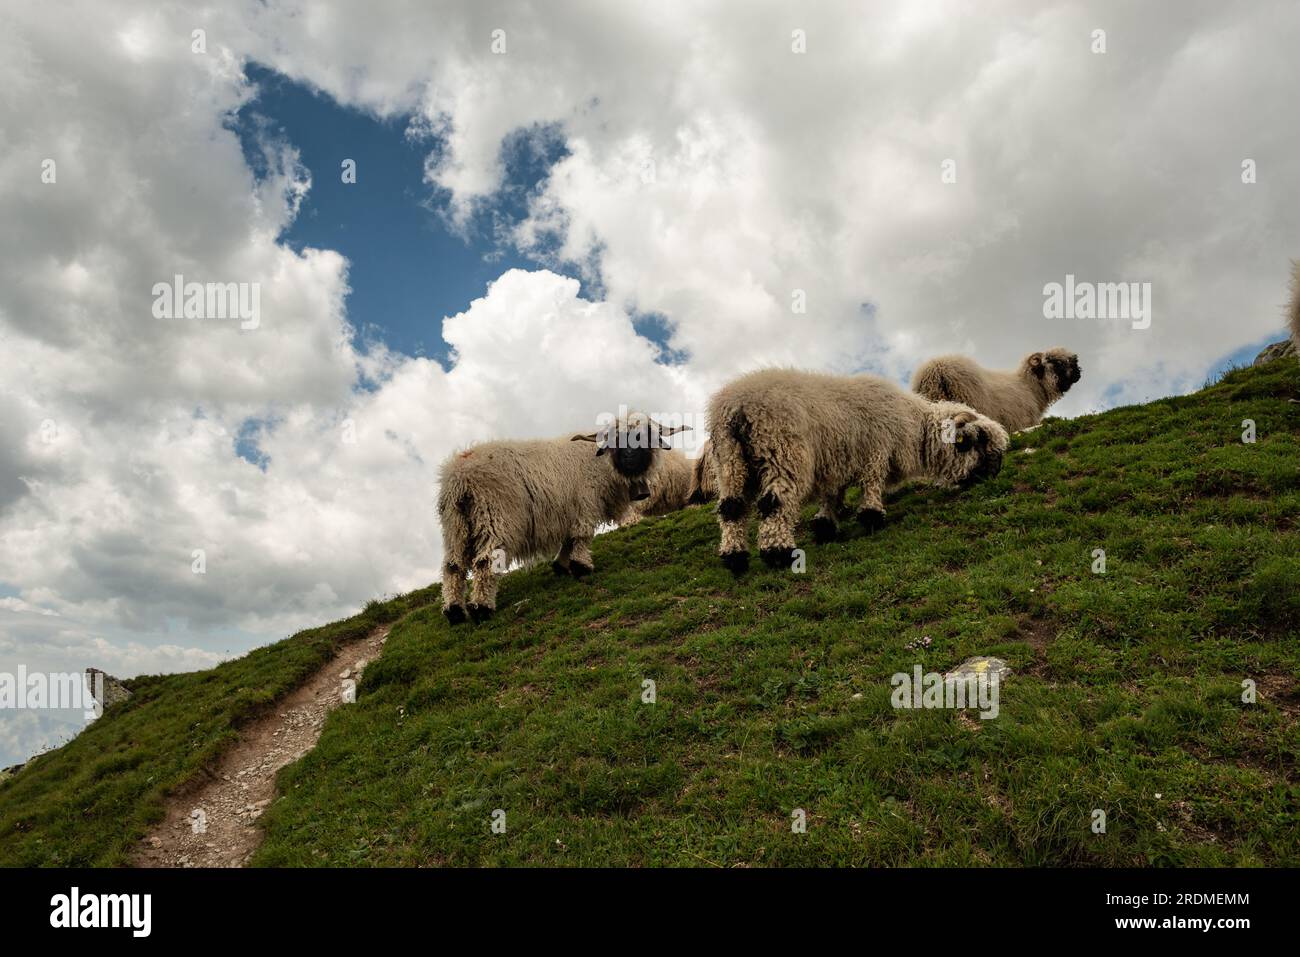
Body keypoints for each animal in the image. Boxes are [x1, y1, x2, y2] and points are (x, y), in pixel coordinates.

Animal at [437, 413, 688, 624]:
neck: (603, 462)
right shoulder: (586, 502)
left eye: (645, 435)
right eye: (618, 439)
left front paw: (562, 565)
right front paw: (581, 566)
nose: (630, 459)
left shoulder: (571, 510)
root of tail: (460, 477)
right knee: (485, 562)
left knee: (452, 567)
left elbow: (569, 538)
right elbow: (582, 534)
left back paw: (455, 611)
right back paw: (482, 608)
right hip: (495, 518)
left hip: (455, 526)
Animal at [706, 369, 1009, 574]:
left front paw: (826, 524)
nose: (994, 473)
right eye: (976, 441)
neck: (913, 427)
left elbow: (832, 494)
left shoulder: (836, 461)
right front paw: (871, 516)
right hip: (781, 453)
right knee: (774, 504)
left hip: (730, 463)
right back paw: (778, 553)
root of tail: (736, 407)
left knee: (731, 509)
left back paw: (735, 557)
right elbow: (872, 483)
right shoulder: (877, 449)